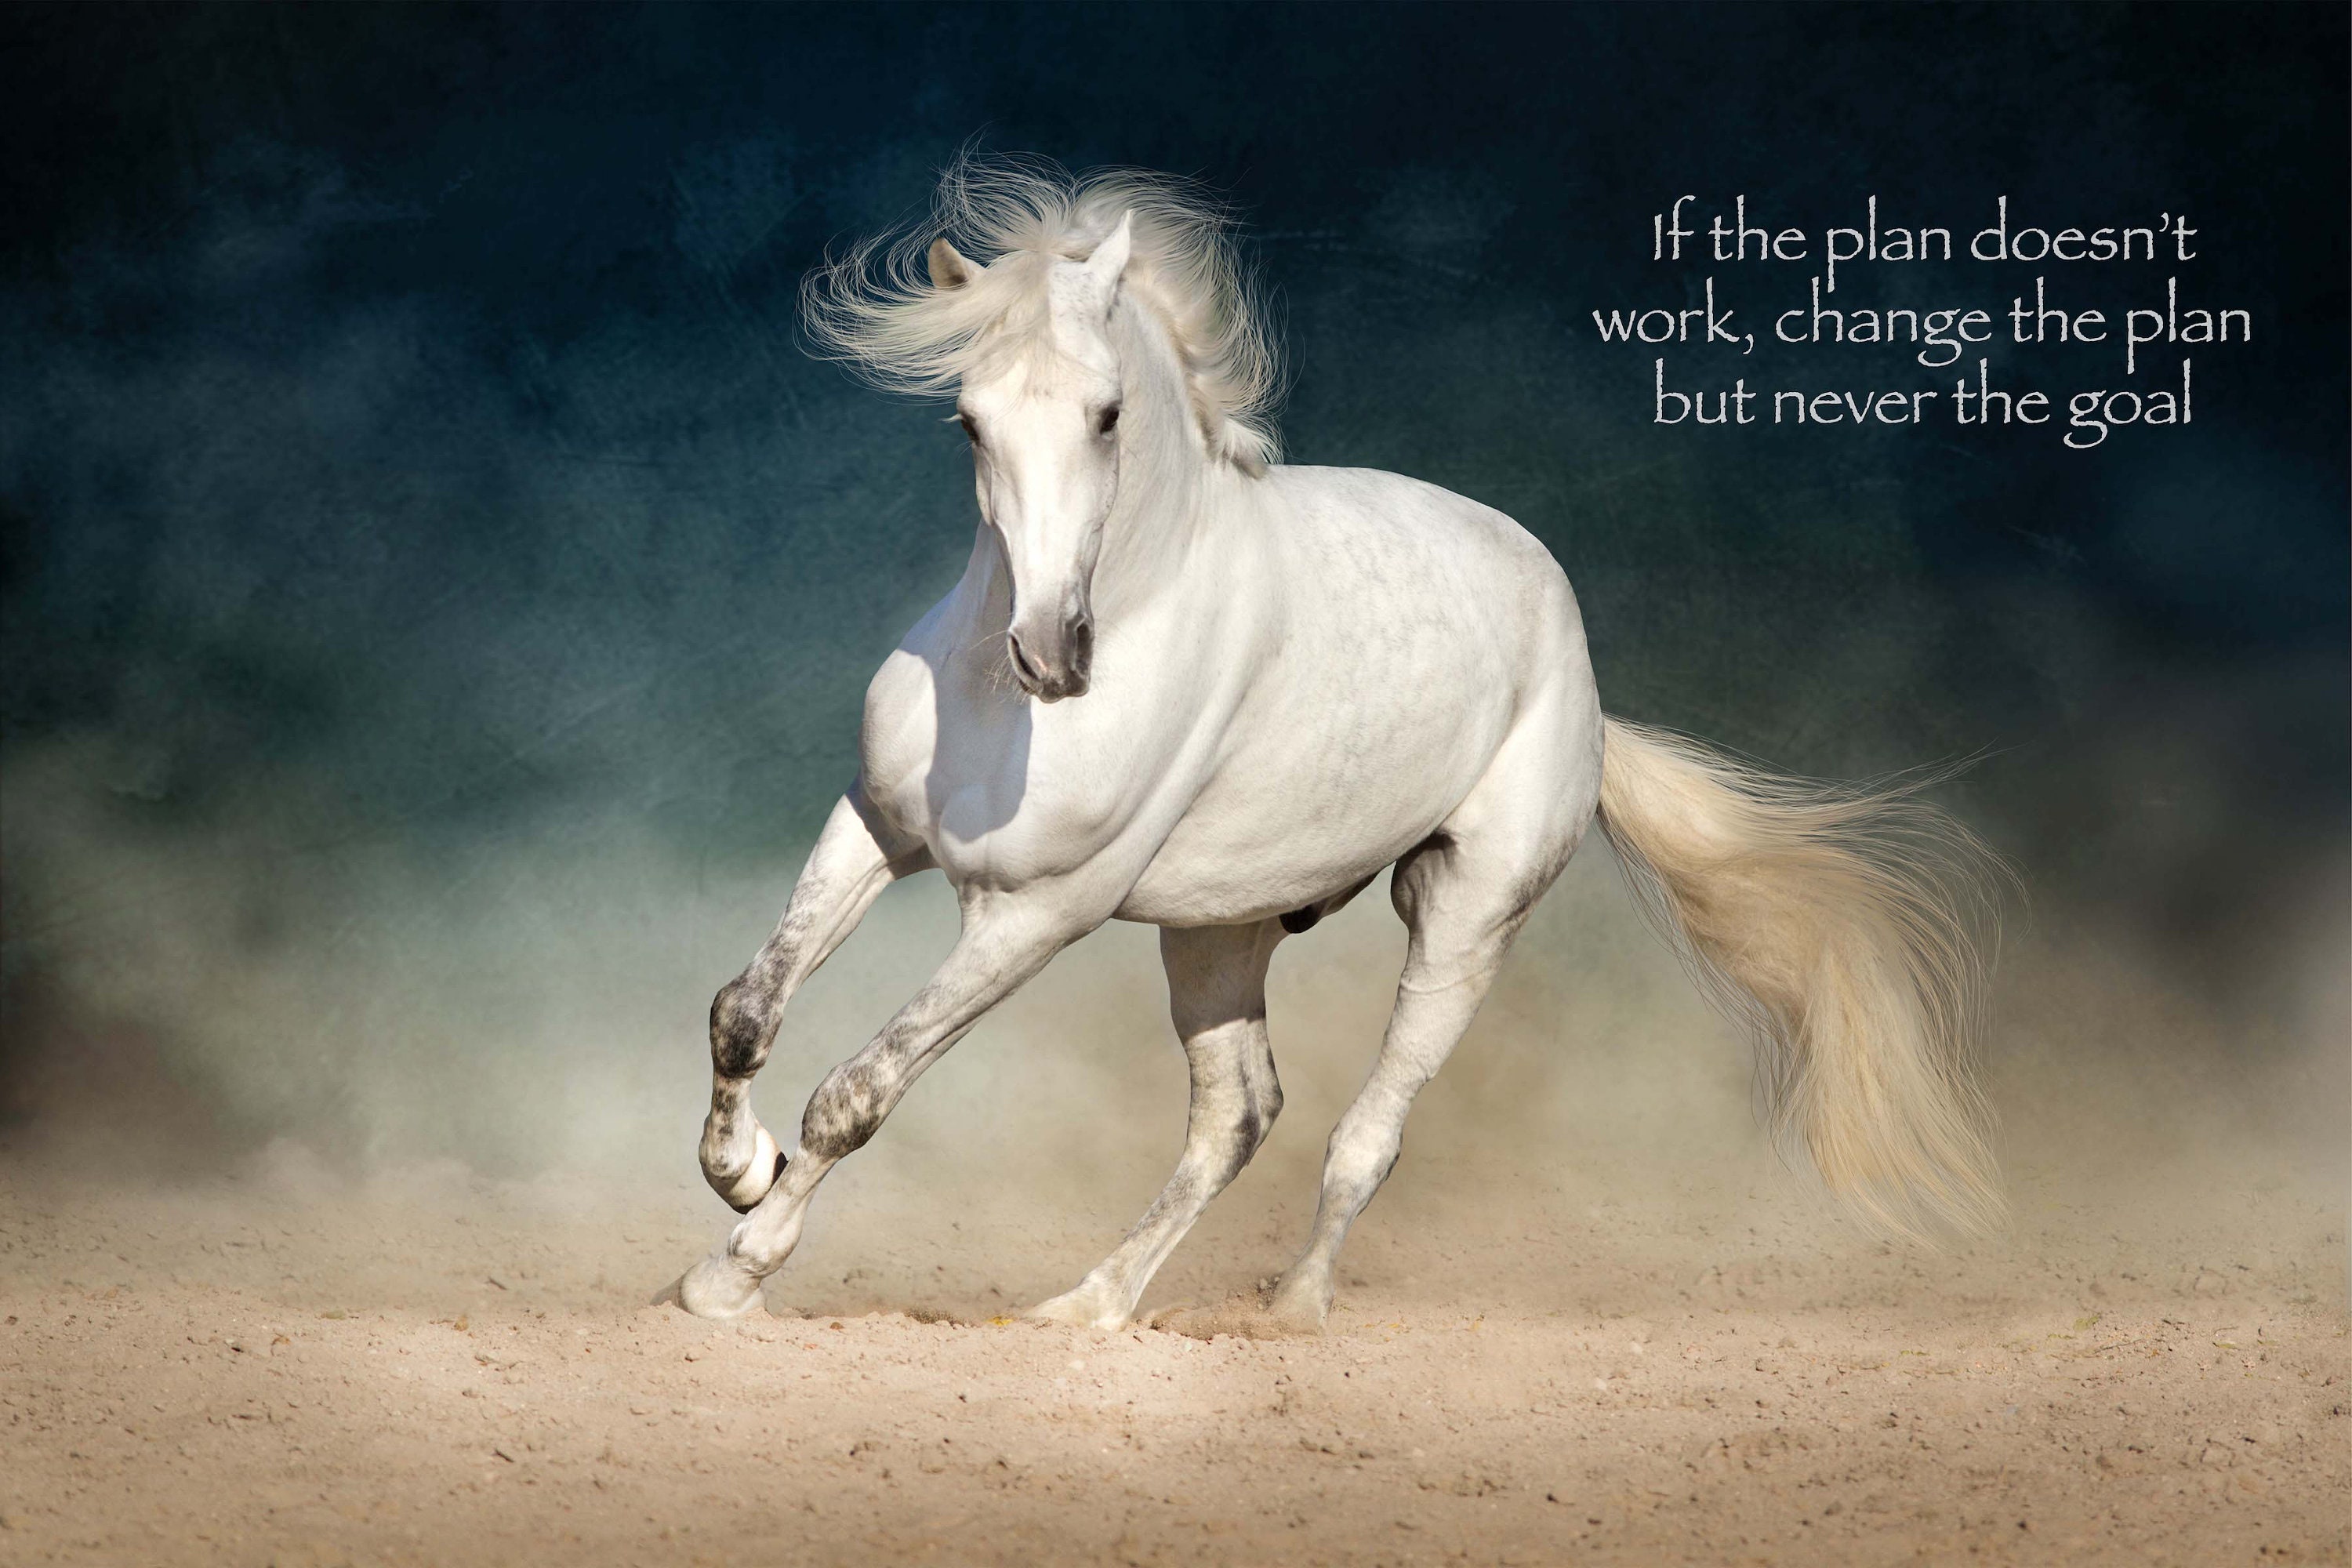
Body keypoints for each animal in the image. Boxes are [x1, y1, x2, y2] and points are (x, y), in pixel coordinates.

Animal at [678, 158, 2004, 1327]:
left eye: (1107, 416)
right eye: (968, 422)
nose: (1051, 655)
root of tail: (1581, 676)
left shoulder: (1035, 915)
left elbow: (858, 1092)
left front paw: (730, 1276)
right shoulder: (877, 827)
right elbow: (746, 1008)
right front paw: (740, 1173)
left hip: (1464, 918)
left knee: (1367, 1131)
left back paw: (1291, 1311)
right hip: (1217, 932)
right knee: (1238, 1117)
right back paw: (1085, 1309)